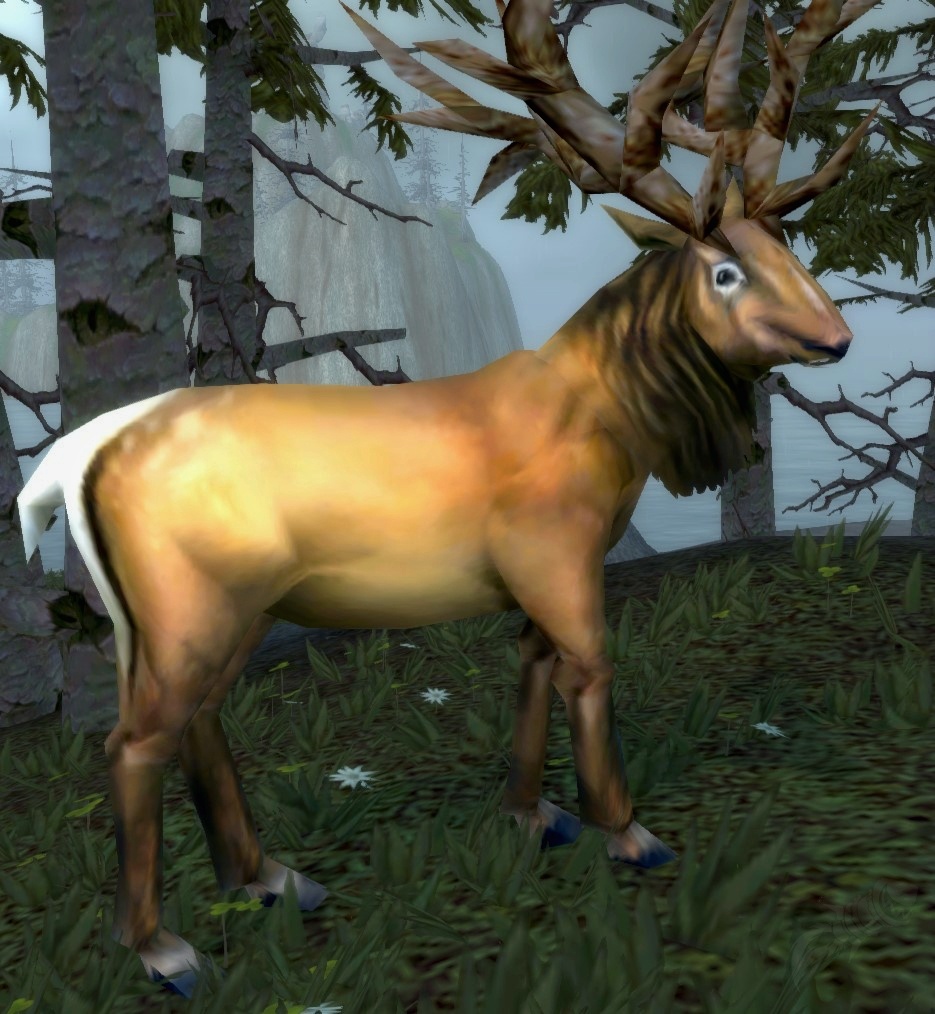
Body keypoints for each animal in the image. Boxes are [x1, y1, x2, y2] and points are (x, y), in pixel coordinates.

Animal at [17, 0, 880, 997]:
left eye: (786, 245)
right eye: (723, 270)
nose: (836, 336)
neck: (615, 424)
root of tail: (82, 449)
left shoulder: (538, 572)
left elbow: (533, 666)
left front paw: (532, 814)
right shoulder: (555, 551)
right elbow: (589, 669)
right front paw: (626, 831)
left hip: (206, 611)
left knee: (193, 719)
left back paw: (270, 877)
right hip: (190, 599)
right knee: (131, 742)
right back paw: (161, 947)